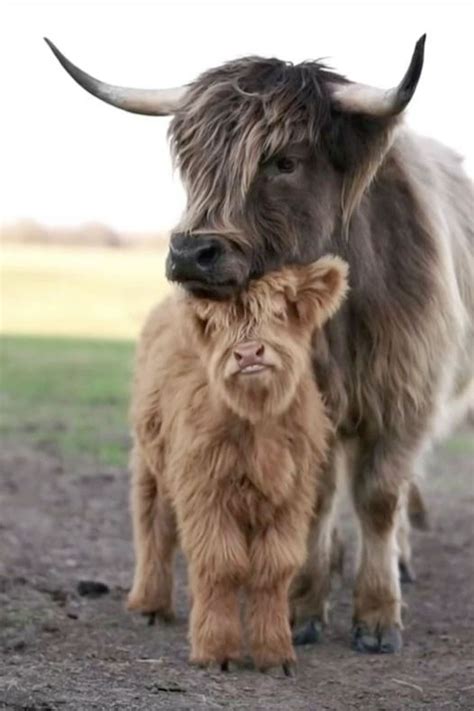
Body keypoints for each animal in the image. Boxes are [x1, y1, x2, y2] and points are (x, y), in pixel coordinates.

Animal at [46, 35, 474, 653]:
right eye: (194, 161)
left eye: (285, 161)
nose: (190, 253)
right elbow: (317, 499)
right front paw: (305, 607)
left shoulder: (405, 396)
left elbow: (379, 497)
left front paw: (377, 618)